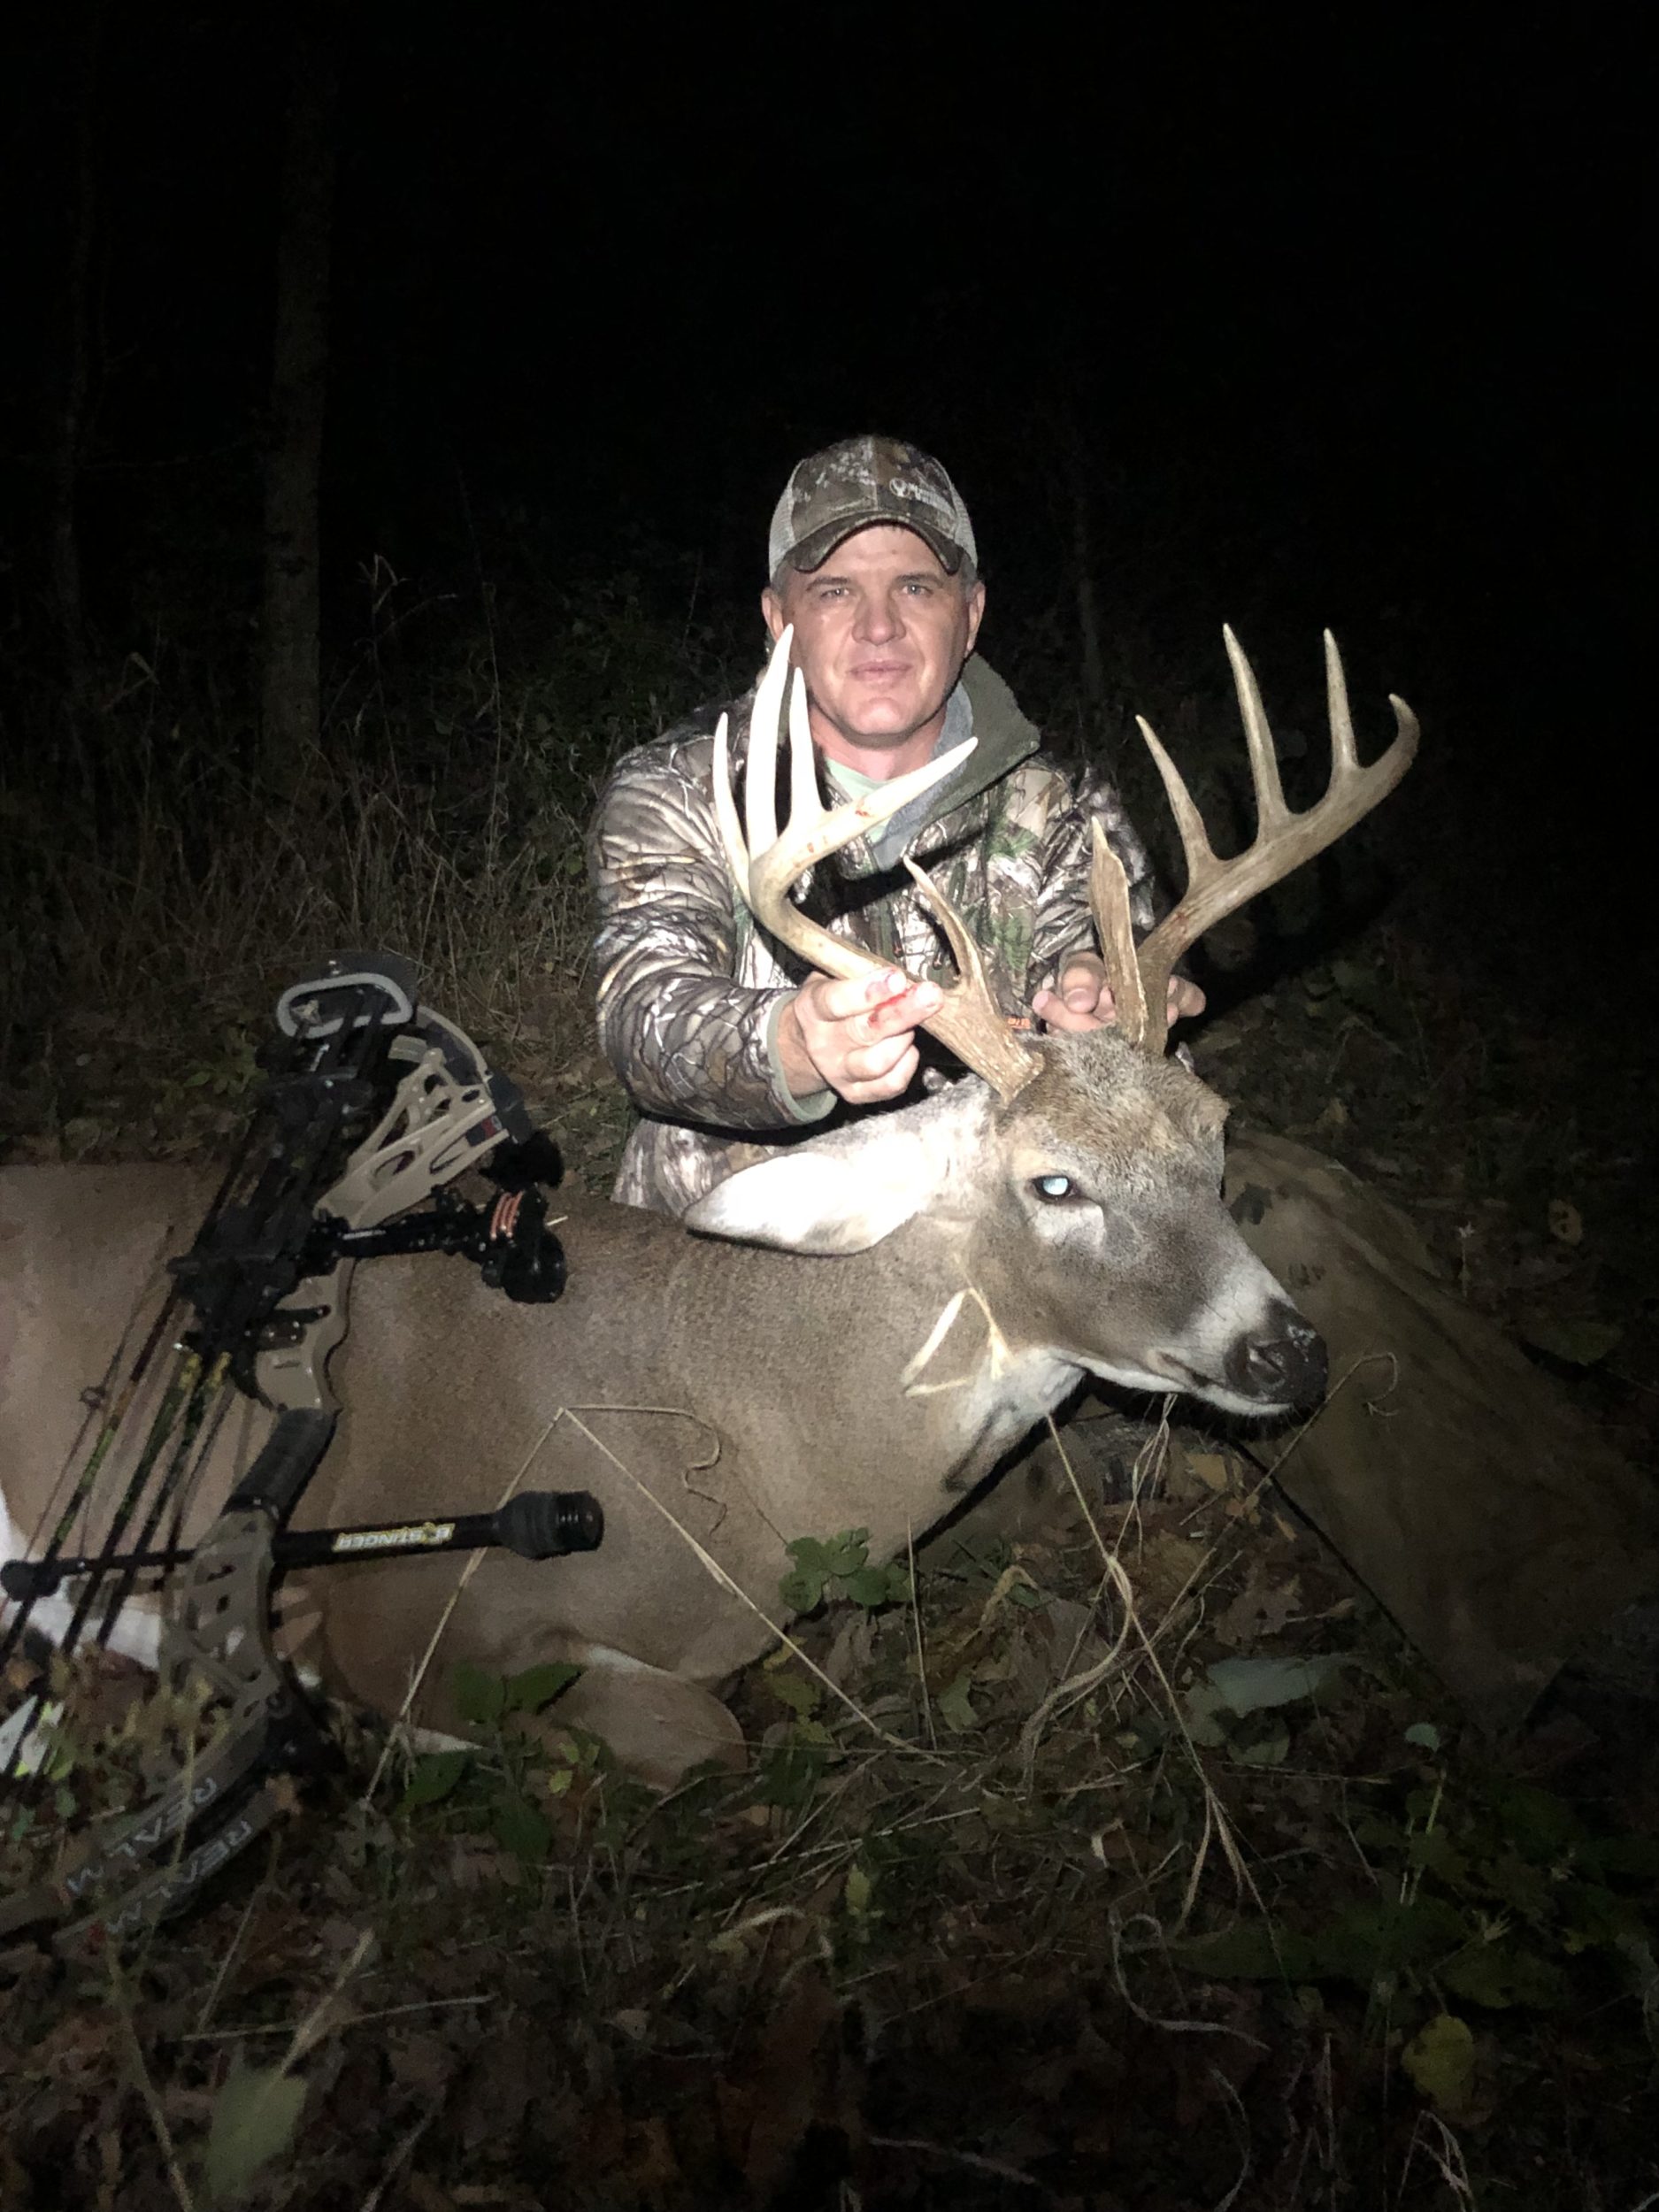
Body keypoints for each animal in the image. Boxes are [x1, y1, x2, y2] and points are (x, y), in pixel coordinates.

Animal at [0, 631, 1417, 1787]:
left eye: (1210, 1130)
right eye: (1052, 1180)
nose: (1288, 1354)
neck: (758, 1452)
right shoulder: (403, 1606)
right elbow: (701, 1730)